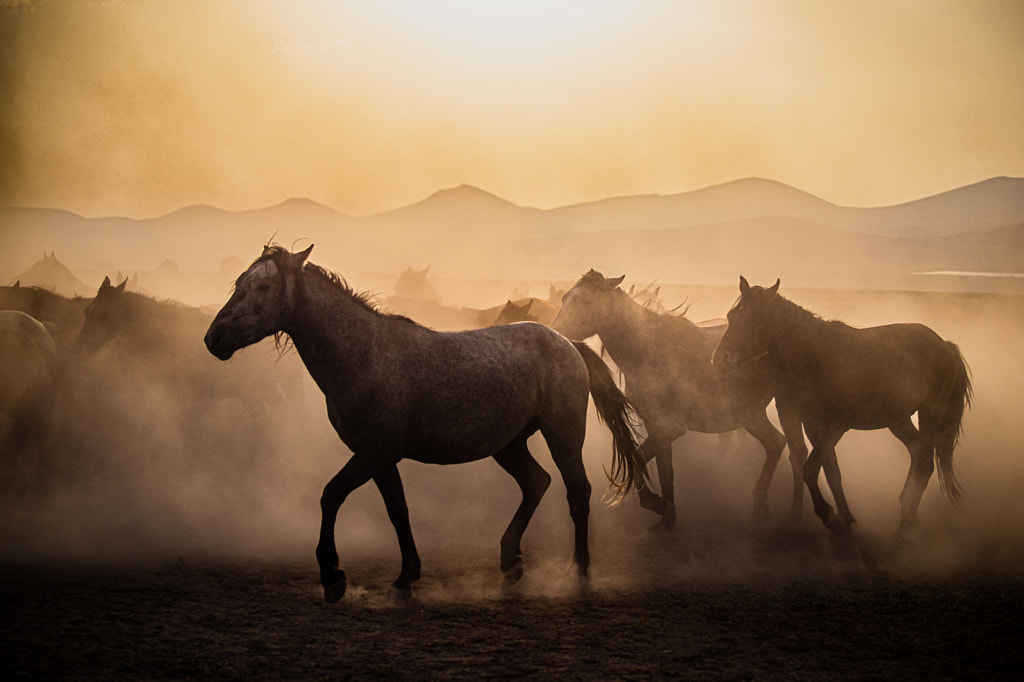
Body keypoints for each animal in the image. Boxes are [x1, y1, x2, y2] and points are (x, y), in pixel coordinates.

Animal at [204, 245, 647, 602]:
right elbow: (397, 510)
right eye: (240, 283)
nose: (215, 338)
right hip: (508, 445)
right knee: (536, 482)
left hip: (563, 435)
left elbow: (331, 496)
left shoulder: (373, 453)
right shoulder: (380, 458)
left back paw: (579, 572)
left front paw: (333, 576)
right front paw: (405, 578)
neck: (362, 355)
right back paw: (510, 562)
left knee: (577, 493)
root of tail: (566, 343)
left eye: (263, 287)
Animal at [552, 270, 808, 531]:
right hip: (749, 414)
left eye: (585, 301)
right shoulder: (656, 426)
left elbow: (639, 459)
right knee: (775, 443)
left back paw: (795, 514)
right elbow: (666, 472)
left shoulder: (670, 427)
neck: (648, 350)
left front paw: (656, 504)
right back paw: (759, 503)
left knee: (795, 451)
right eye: (564, 299)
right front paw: (667, 517)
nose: (555, 334)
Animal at [712, 277, 972, 537]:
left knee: (925, 460)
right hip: (898, 420)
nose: (720, 358)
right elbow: (813, 466)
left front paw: (834, 517)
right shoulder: (798, 420)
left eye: (753, 319)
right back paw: (907, 511)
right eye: (732, 316)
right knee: (919, 454)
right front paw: (813, 516)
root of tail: (945, 346)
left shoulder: (832, 427)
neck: (811, 357)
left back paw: (905, 525)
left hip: (931, 414)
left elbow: (818, 469)